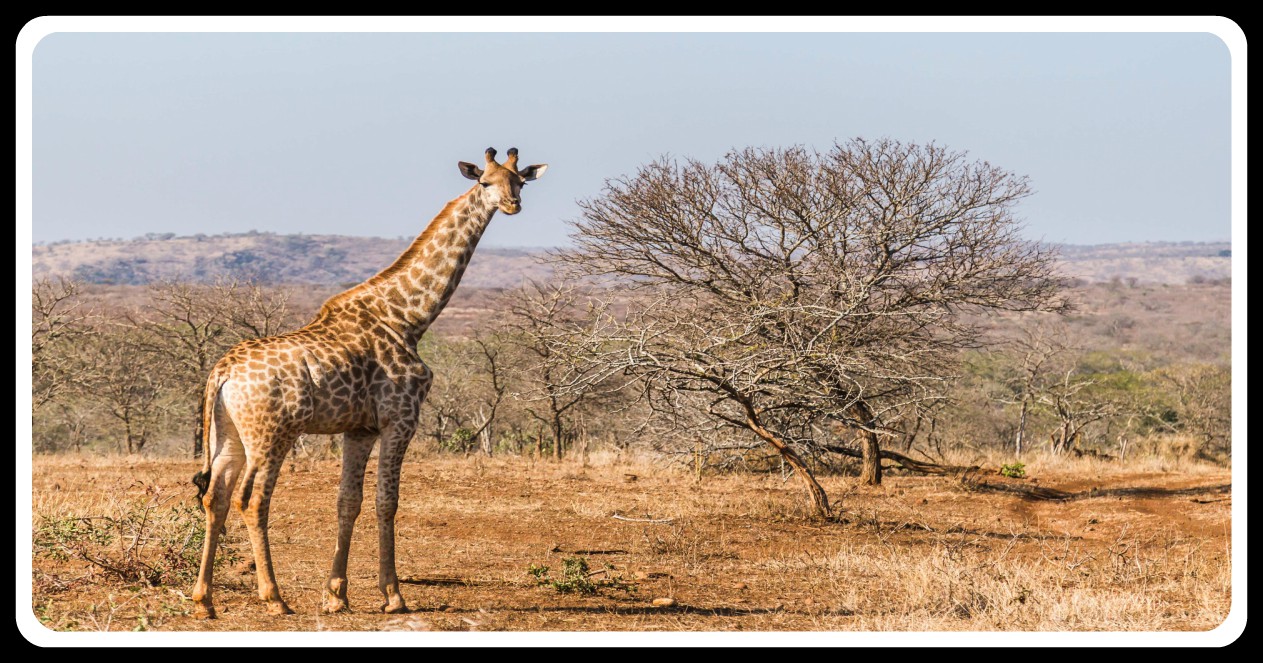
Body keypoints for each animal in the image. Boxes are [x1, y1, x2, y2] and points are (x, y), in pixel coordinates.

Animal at [189, 147, 547, 619]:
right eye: (485, 182)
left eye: (519, 181)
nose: (512, 204)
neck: (409, 319)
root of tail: (221, 372)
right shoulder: (400, 419)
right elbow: (387, 502)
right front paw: (393, 596)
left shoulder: (358, 429)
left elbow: (348, 501)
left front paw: (335, 595)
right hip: (272, 434)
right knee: (251, 500)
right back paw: (274, 597)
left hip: (229, 435)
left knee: (215, 497)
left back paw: (203, 600)